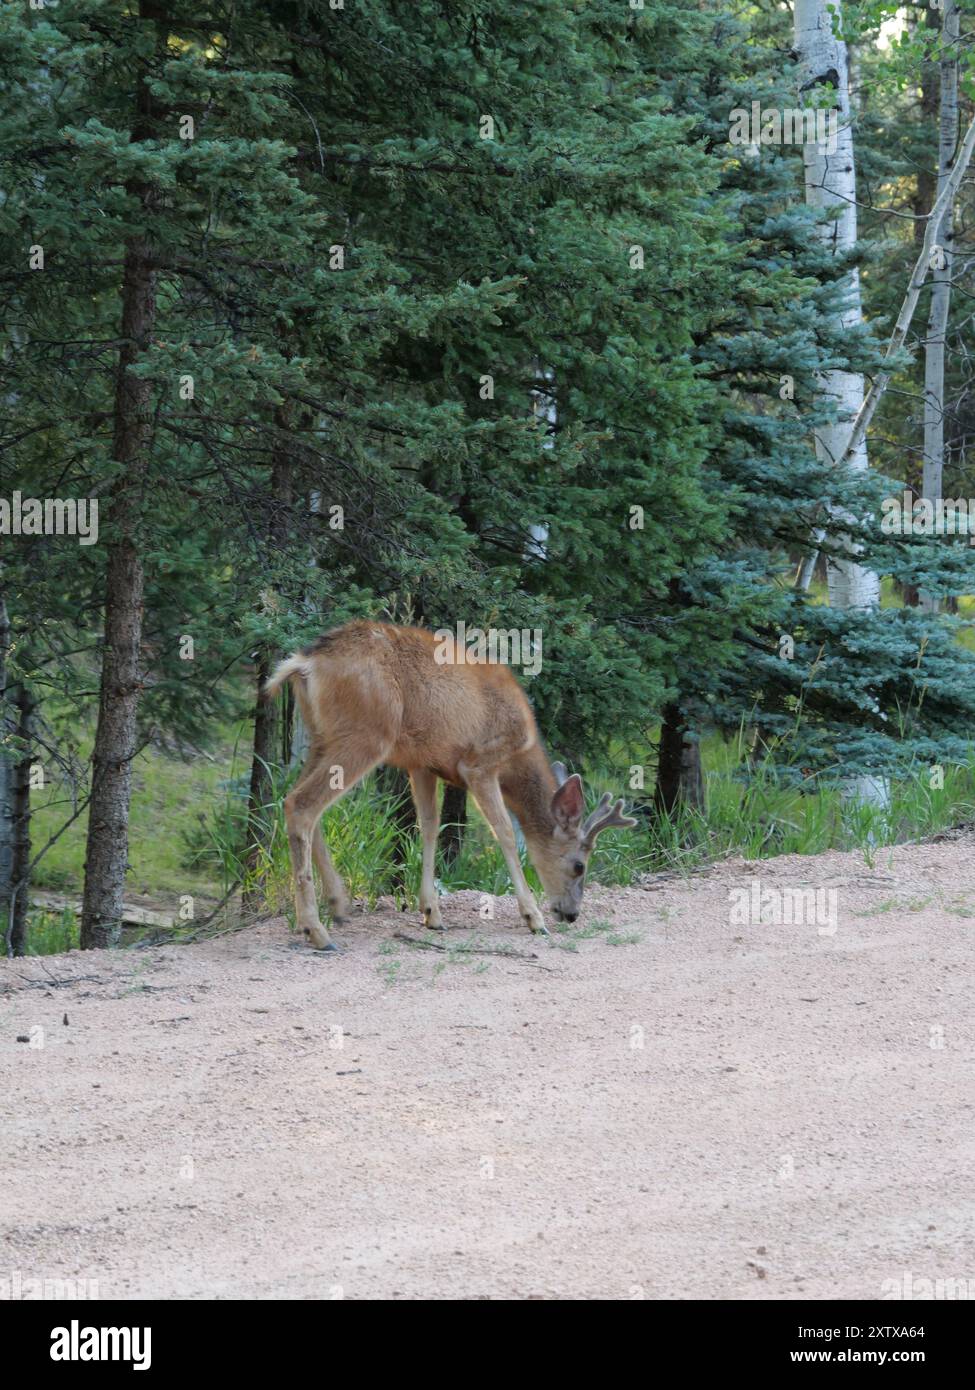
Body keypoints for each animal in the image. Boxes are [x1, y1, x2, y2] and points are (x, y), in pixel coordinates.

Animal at [263, 621, 637, 950]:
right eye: (579, 865)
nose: (572, 914)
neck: (519, 755)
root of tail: (306, 663)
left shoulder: (422, 763)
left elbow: (429, 826)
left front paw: (432, 912)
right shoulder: (480, 763)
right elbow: (504, 833)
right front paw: (534, 918)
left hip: (321, 738)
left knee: (298, 803)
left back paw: (337, 906)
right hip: (366, 735)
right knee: (301, 805)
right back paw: (317, 931)